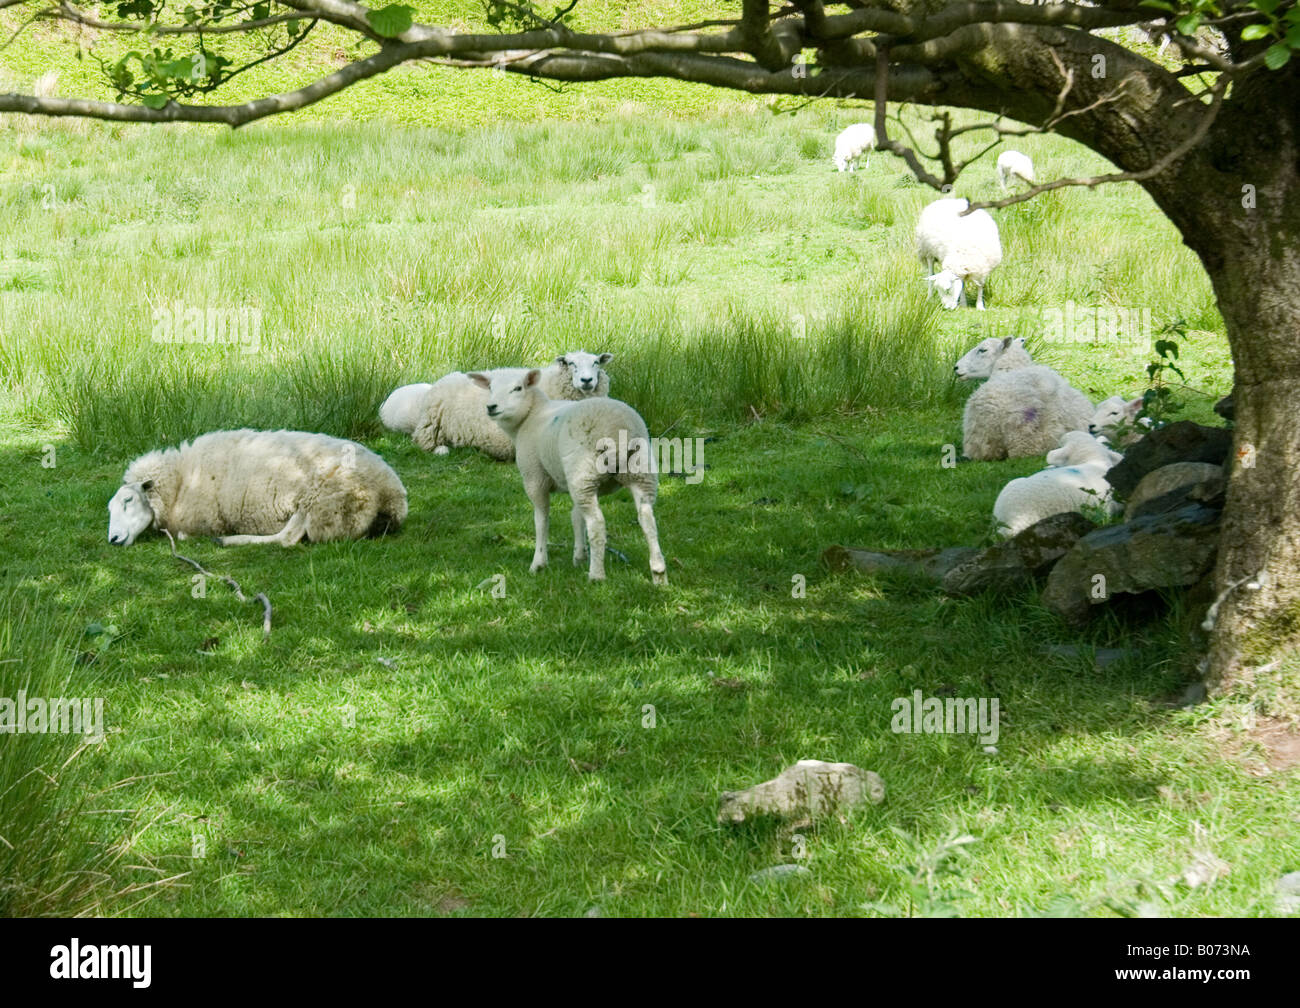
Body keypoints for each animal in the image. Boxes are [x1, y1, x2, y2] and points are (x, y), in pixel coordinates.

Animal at [107, 429, 407, 547]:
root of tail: (392, 495)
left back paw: (229, 540)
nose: (113, 539)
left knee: (287, 538)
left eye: (128, 501)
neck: (180, 479)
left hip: (322, 499)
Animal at [404, 351, 613, 459]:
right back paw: (441, 449)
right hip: (431, 423)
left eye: (596, 363)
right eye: (571, 364)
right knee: (422, 440)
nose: (587, 380)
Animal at [467, 368, 666, 584]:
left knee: (597, 523)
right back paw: (659, 573)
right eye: (490, 388)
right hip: (638, 472)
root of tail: (619, 429)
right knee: (647, 519)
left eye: (518, 388)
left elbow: (541, 520)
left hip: (584, 471)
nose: (491, 407)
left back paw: (596, 575)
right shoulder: (576, 482)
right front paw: (579, 556)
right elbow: (576, 516)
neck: (531, 415)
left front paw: (538, 563)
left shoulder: (535, 478)